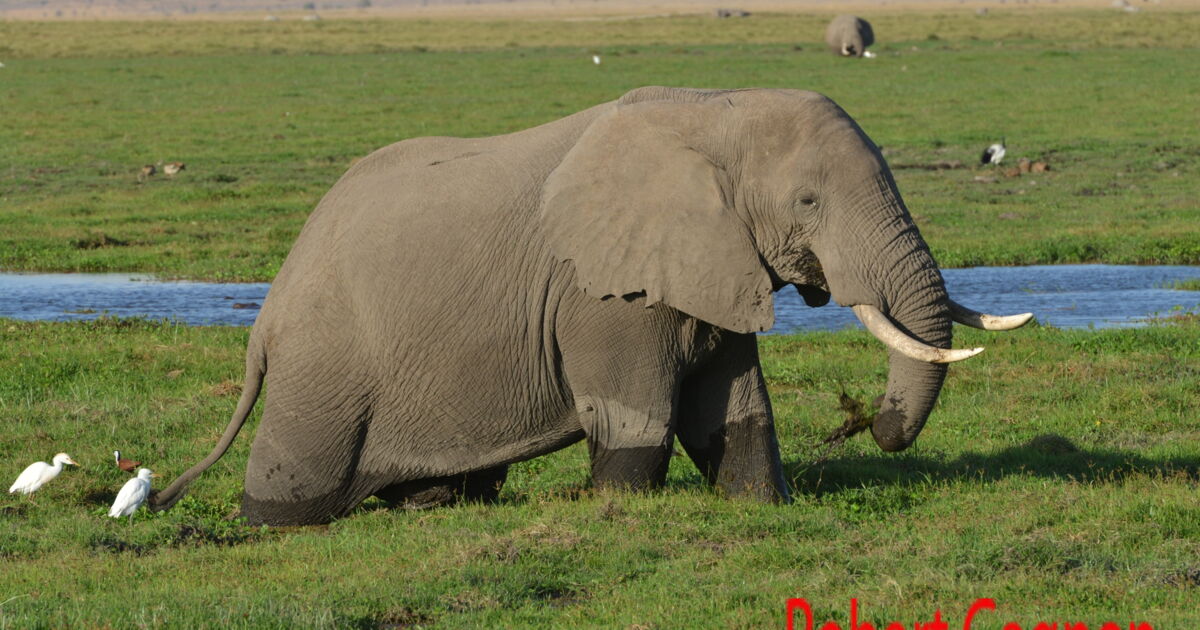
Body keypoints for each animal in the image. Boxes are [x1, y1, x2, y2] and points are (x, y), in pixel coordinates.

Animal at [150, 86, 1031, 526]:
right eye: (809, 202)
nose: (872, 424)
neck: (714, 111)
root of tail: (265, 320)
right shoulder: (603, 295)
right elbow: (636, 416)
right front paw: (618, 509)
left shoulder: (708, 264)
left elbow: (735, 409)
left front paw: (760, 506)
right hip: (325, 362)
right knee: (295, 484)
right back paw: (270, 520)